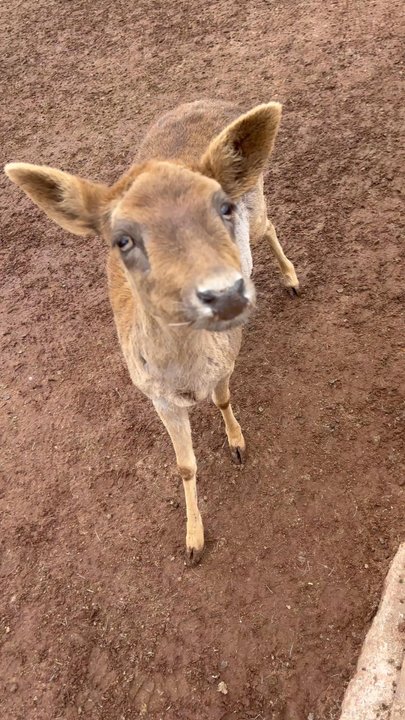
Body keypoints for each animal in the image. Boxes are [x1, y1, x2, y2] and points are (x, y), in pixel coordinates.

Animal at [5, 99, 299, 564]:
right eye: (122, 239)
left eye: (223, 208)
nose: (226, 294)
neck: (188, 379)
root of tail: (207, 101)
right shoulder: (156, 396)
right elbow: (185, 465)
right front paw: (193, 542)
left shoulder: (227, 360)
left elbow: (224, 399)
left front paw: (237, 444)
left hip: (256, 204)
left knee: (267, 226)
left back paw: (291, 279)